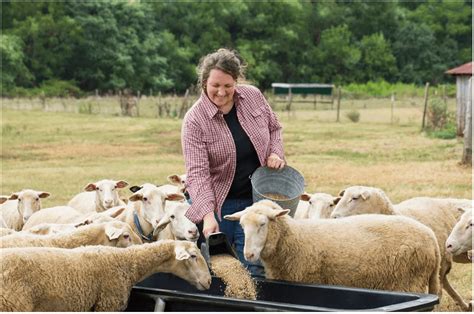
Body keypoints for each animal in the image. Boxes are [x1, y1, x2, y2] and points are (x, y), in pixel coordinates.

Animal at [225, 200, 440, 296]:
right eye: (242, 226)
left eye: (263, 224)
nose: (248, 254)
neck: (295, 237)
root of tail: (431, 237)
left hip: (409, 281)